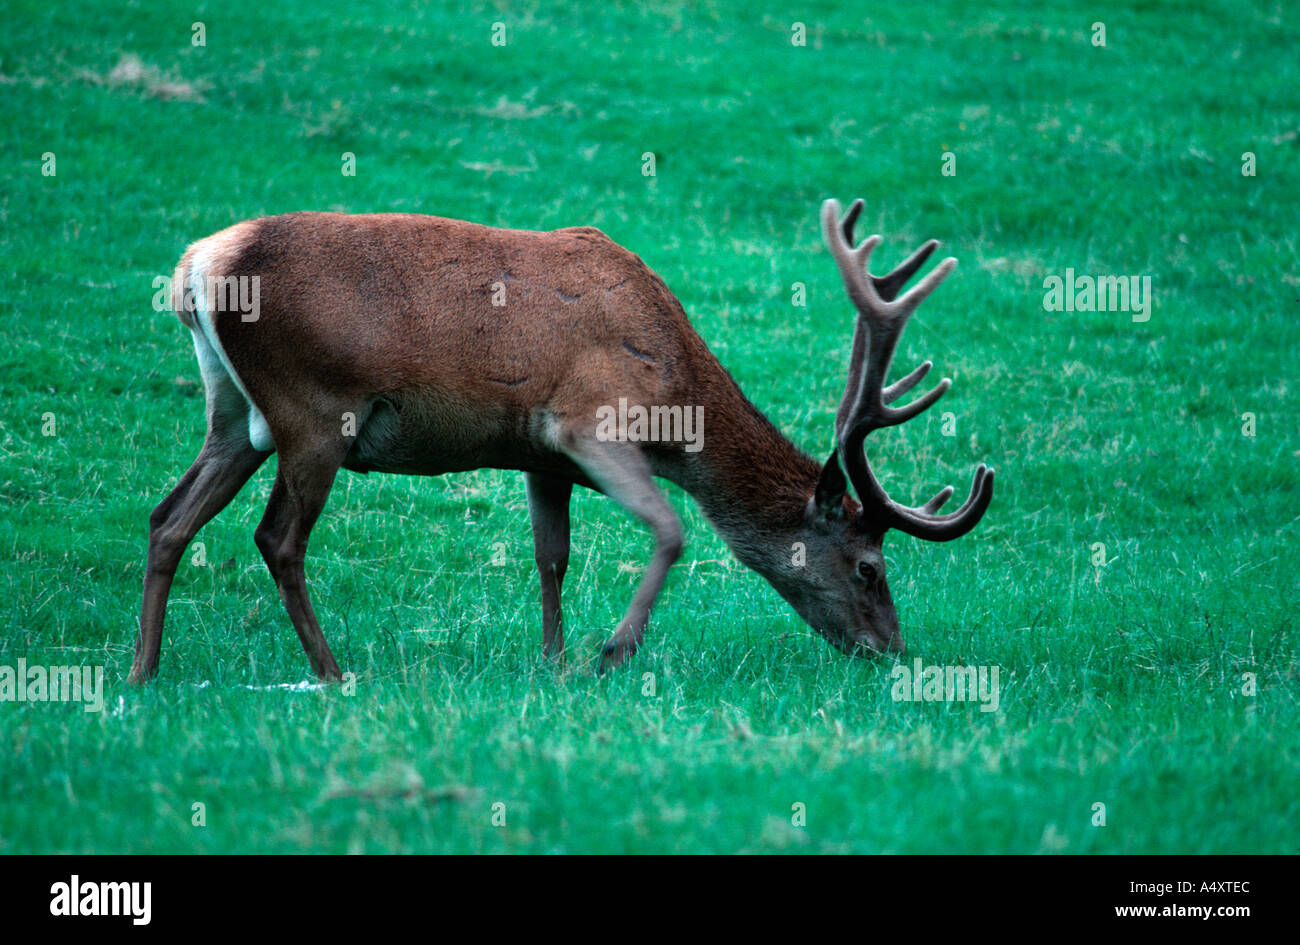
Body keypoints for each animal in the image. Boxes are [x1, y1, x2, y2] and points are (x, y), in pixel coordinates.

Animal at [129, 197, 993, 684]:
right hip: (312, 409)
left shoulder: (536, 455)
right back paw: (333, 672)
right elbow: (673, 528)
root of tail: (199, 265)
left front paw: (552, 662)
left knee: (168, 517)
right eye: (870, 566)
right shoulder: (588, 422)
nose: (891, 649)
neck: (674, 389)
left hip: (233, 413)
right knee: (277, 537)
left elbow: (552, 556)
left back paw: (143, 672)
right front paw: (612, 652)